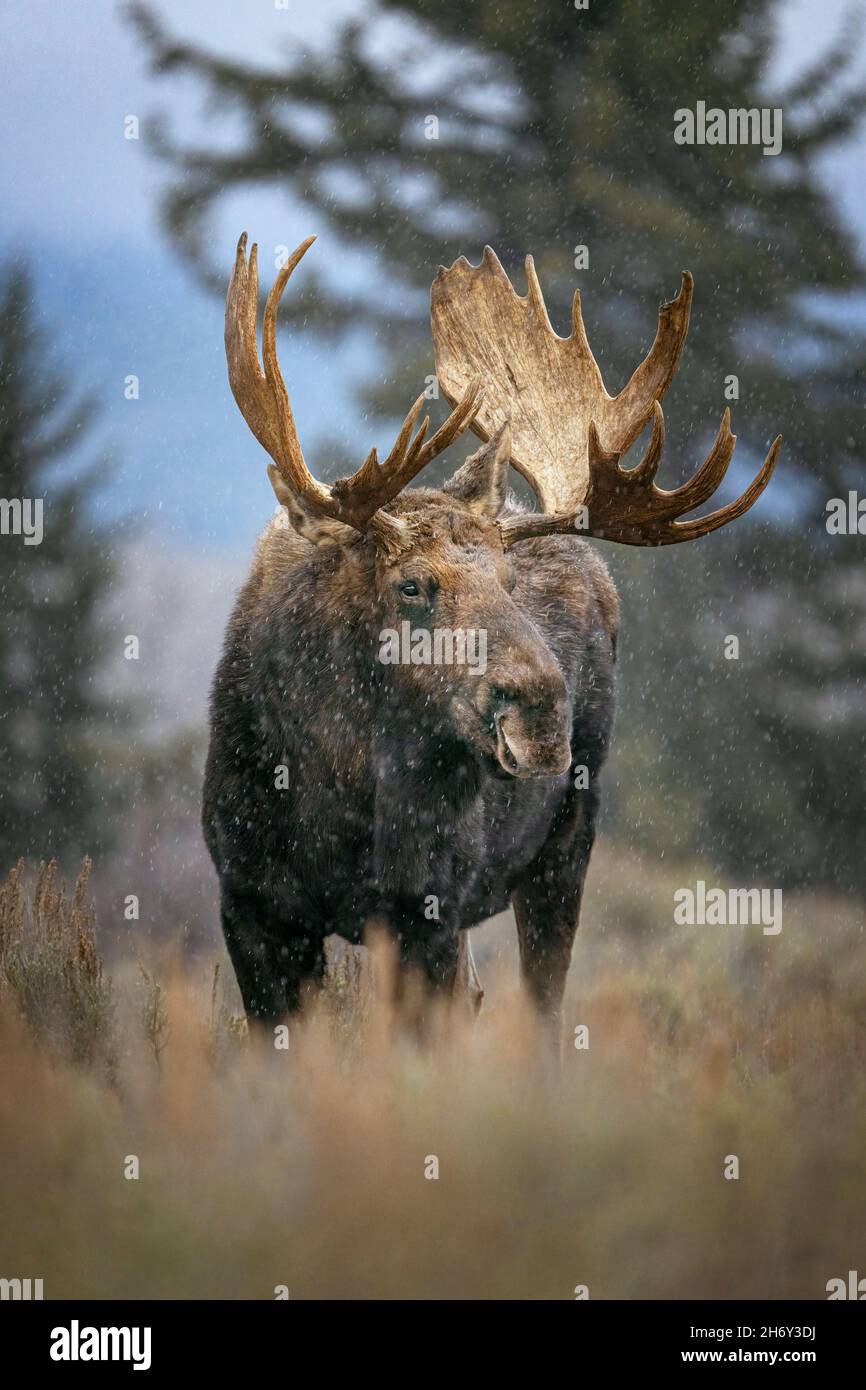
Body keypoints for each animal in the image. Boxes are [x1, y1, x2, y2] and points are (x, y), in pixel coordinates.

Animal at [203, 233, 780, 1043]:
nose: (542, 712)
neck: (333, 793)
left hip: (564, 849)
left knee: (542, 1011)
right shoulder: (250, 902)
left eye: (508, 581)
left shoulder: (426, 912)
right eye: (411, 585)